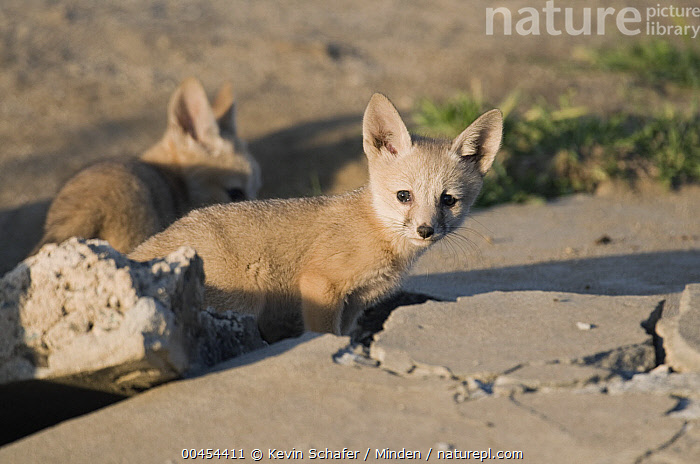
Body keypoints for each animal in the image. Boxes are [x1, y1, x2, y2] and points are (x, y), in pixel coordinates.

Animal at [130, 93, 502, 343]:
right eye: (404, 196)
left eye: (448, 200)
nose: (425, 230)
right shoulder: (320, 285)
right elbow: (324, 334)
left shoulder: (356, 301)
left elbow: (344, 334)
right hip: (242, 301)